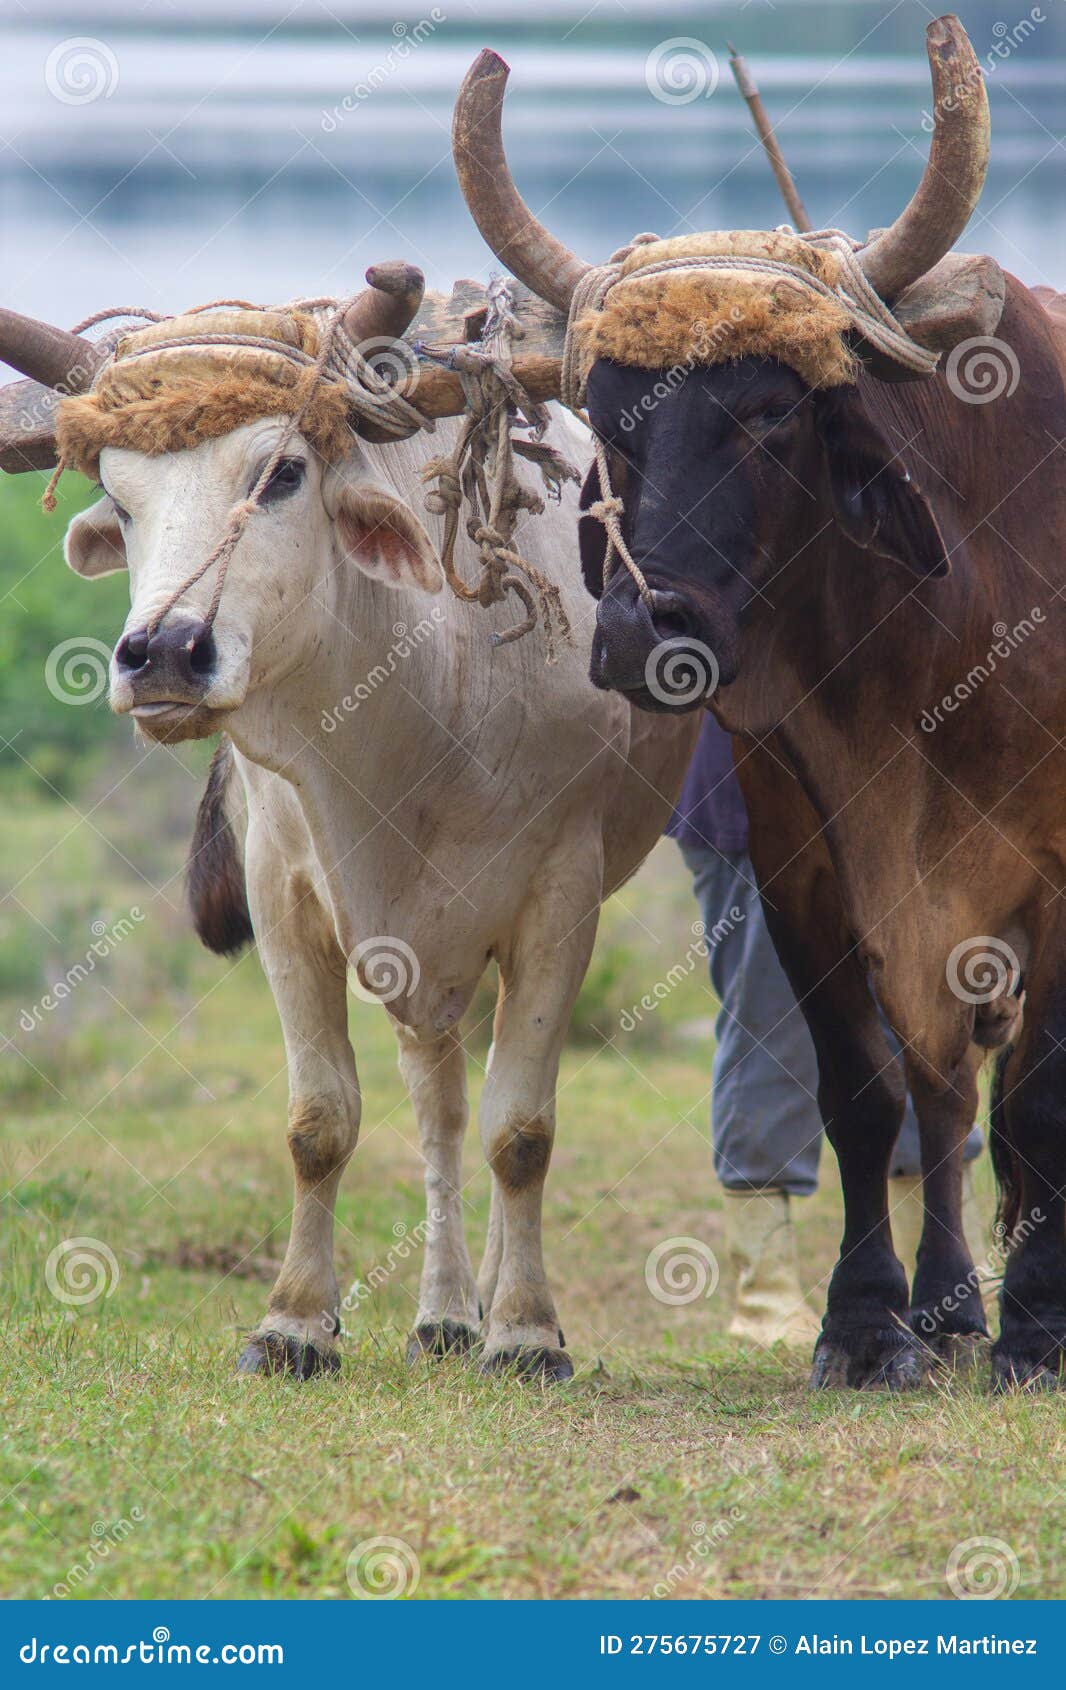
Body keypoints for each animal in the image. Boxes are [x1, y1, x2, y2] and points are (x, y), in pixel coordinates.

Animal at [0, 271, 696, 1382]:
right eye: (118, 495)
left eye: (281, 472)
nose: (163, 654)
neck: (431, 686)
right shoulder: (285, 893)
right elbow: (322, 1122)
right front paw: (294, 1322)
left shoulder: (562, 897)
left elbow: (523, 1129)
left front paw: (528, 1329)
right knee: (439, 1100)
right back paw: (446, 1313)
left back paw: (489, 1307)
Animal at [453, 16, 1066, 1390]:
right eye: (608, 419)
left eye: (773, 410)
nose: (646, 631)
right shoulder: (803, 862)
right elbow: (868, 1093)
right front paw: (869, 1322)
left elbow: (1041, 1096)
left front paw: (1039, 1331)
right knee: (938, 1097)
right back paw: (947, 1306)